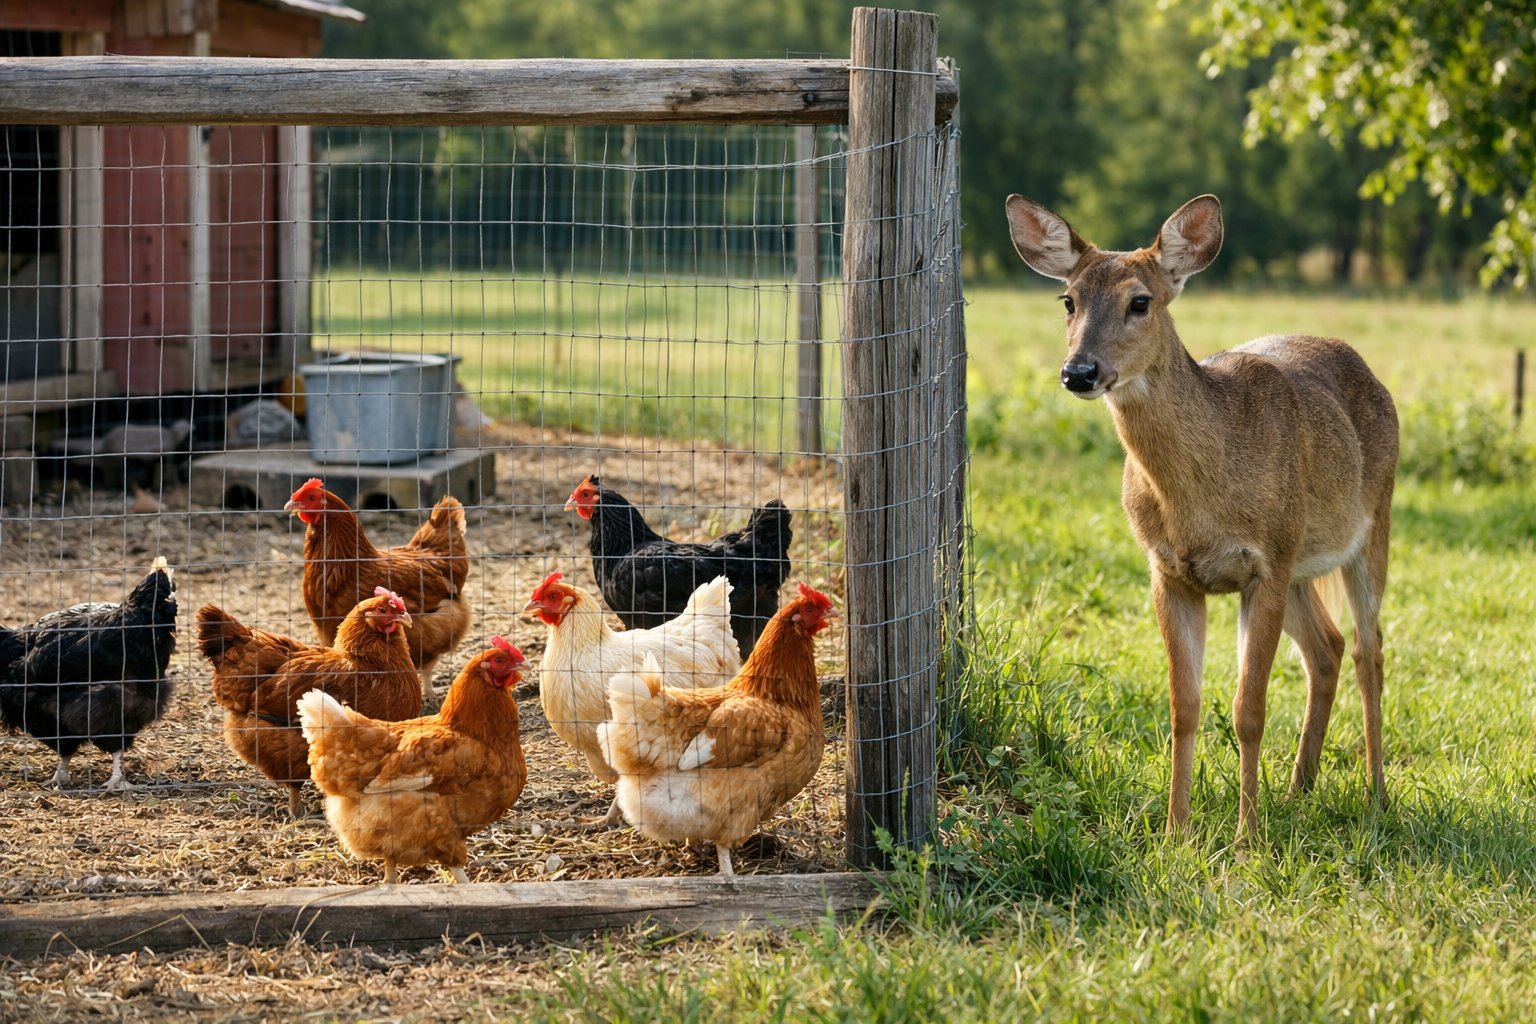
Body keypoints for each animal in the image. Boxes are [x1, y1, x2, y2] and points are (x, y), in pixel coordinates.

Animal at [1004, 193, 1399, 842]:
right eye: (1068, 300)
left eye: (1140, 301)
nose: (1079, 372)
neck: (1199, 503)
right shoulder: (1170, 572)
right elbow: (1182, 708)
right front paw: (1175, 833)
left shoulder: (1264, 562)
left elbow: (1248, 710)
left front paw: (1246, 839)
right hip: (1300, 562)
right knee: (1328, 647)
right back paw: (1298, 789)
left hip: (1370, 527)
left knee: (1371, 651)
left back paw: (1376, 797)